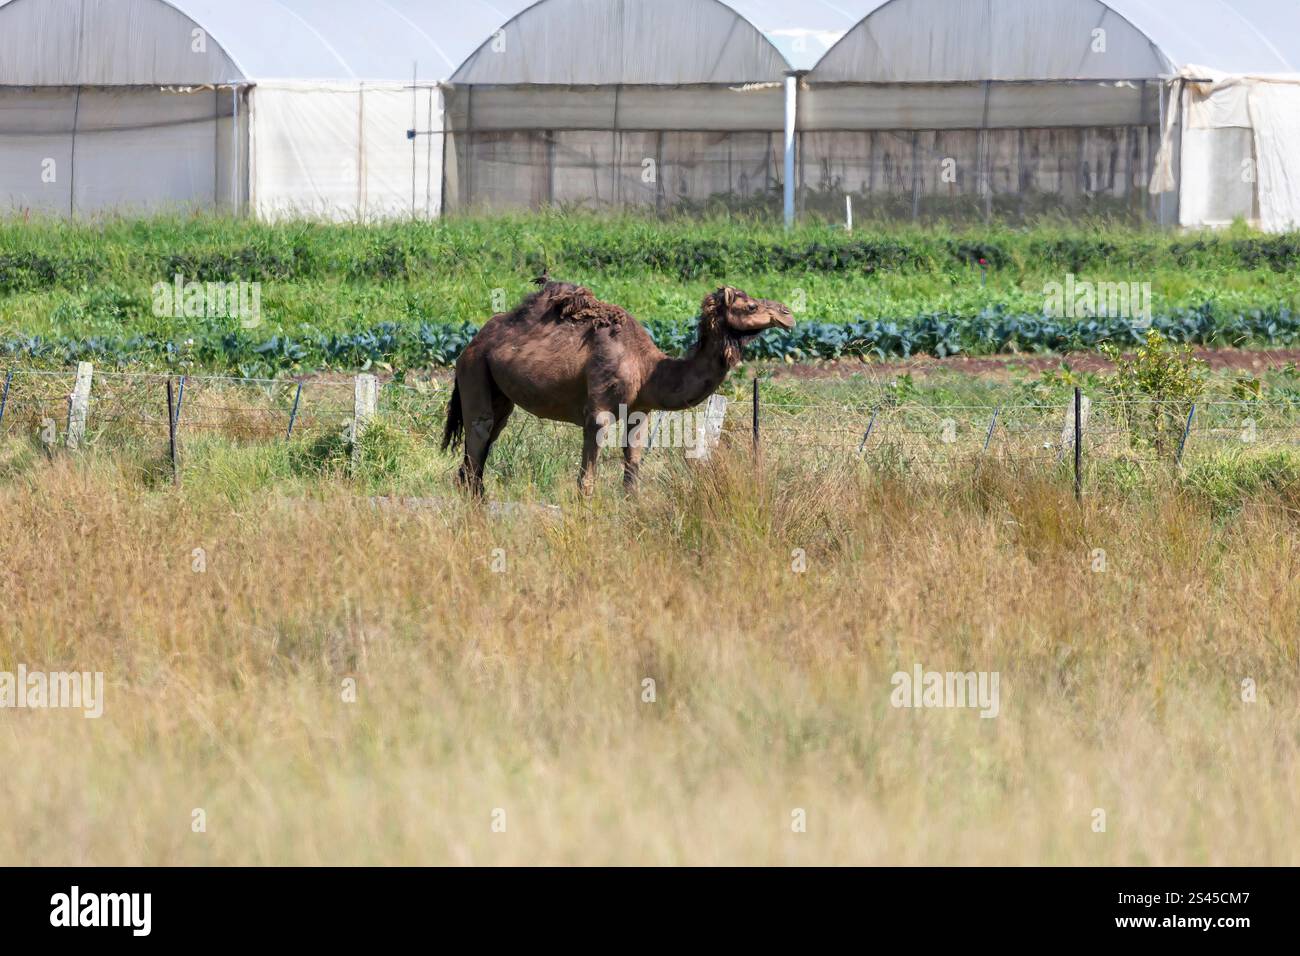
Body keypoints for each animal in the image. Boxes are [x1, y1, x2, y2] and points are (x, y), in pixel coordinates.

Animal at [442, 281, 793, 495]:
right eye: (751, 307)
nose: (788, 314)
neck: (648, 368)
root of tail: (472, 342)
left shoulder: (641, 411)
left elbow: (632, 475)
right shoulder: (597, 410)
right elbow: (586, 481)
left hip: (498, 390)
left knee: (479, 455)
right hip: (474, 370)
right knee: (479, 433)